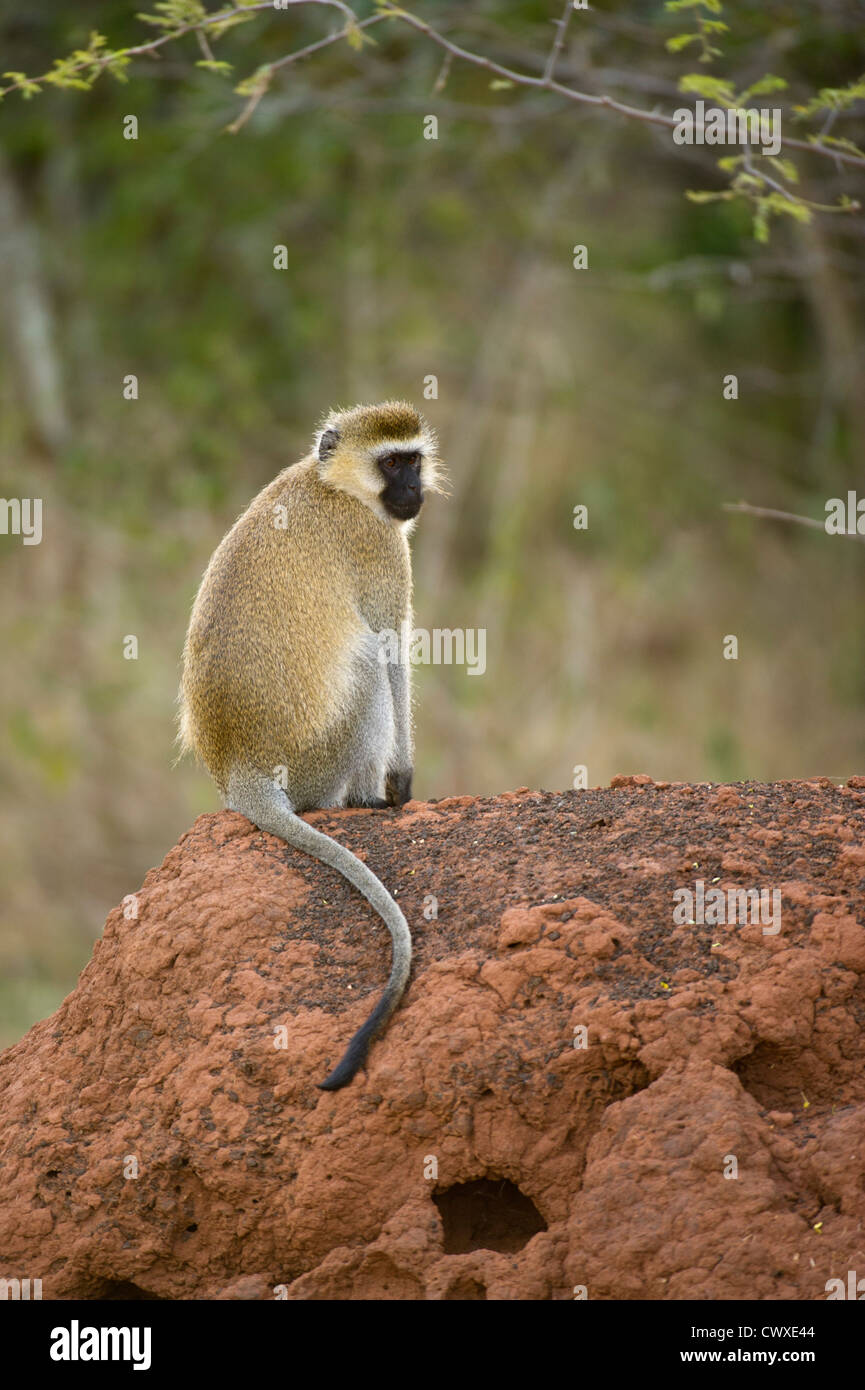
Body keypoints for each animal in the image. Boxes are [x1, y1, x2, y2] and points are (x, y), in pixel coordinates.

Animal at [178, 401, 443, 1091]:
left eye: (414, 459)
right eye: (392, 462)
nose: (413, 490)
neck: (334, 484)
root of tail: (241, 773)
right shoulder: (377, 545)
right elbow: (390, 643)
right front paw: (402, 786)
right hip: (317, 761)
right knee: (368, 663)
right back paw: (364, 800)